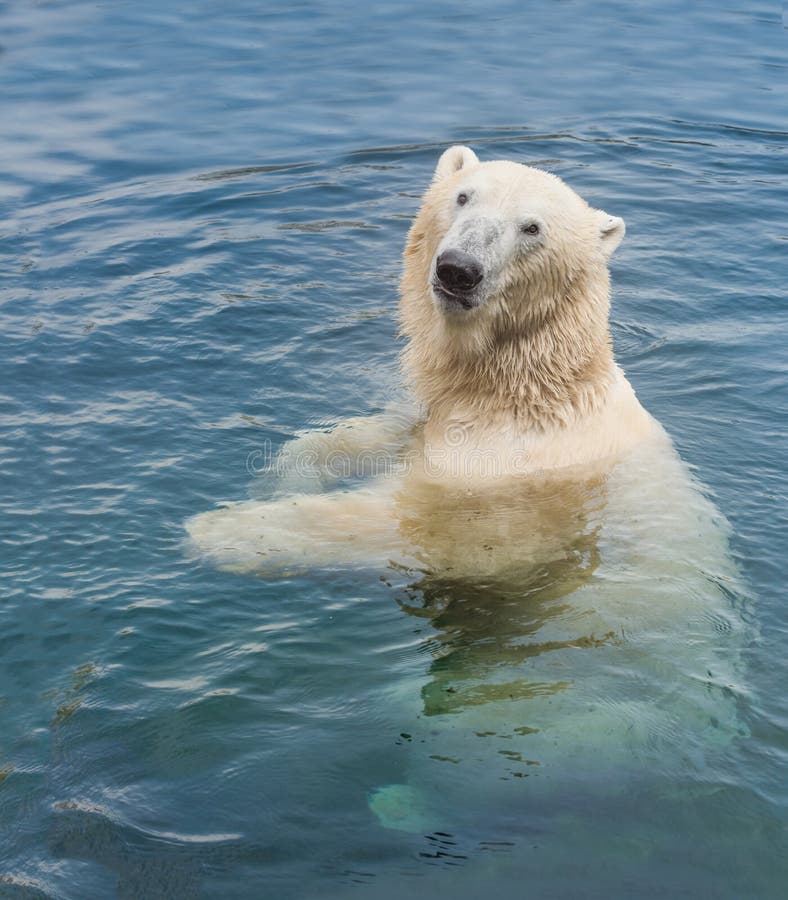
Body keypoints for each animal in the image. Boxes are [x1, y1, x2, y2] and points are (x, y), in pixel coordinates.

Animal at [186, 147, 752, 832]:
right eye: (463, 197)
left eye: (532, 227)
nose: (458, 269)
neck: (524, 385)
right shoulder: (435, 414)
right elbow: (375, 435)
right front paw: (280, 473)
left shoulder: (519, 473)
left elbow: (436, 529)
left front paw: (223, 530)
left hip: (575, 717)